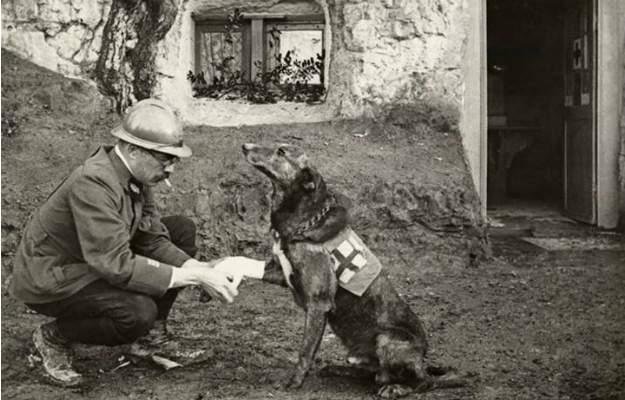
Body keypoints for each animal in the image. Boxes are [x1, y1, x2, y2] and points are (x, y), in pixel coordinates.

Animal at [243, 143, 464, 396]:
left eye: (281, 152)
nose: (245, 146)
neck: (303, 221)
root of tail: (423, 357)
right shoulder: (282, 273)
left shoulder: (318, 303)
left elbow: (305, 351)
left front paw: (294, 382)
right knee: (373, 374)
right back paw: (340, 369)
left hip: (387, 340)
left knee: (423, 381)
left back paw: (397, 388)